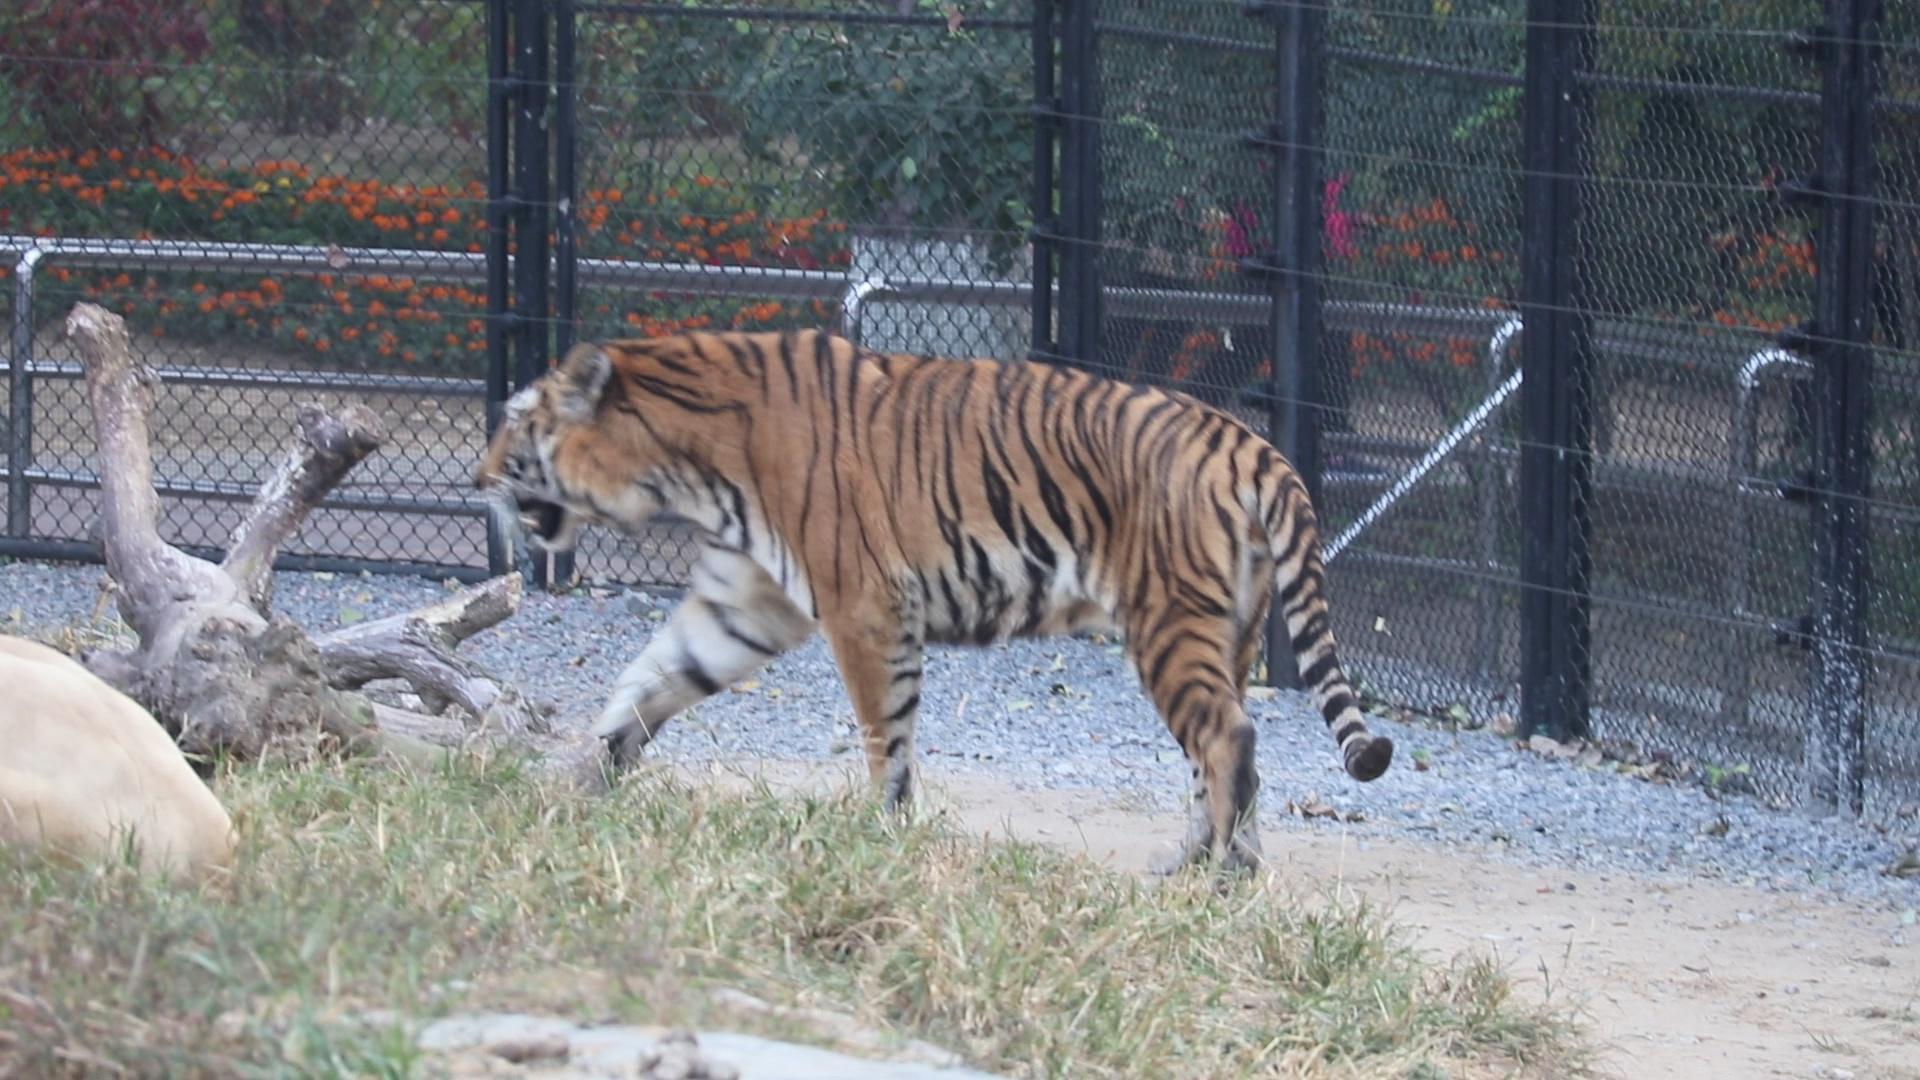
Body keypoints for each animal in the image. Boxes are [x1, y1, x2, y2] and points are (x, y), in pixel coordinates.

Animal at [474, 329, 1393, 875]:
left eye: (514, 424)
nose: (477, 477)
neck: (683, 463)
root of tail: (1252, 443)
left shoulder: (861, 605)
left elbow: (886, 732)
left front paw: (878, 829)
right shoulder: (747, 602)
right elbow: (654, 675)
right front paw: (586, 774)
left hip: (1169, 623)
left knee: (1228, 738)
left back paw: (1221, 879)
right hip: (1227, 632)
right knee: (1219, 746)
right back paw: (1197, 862)